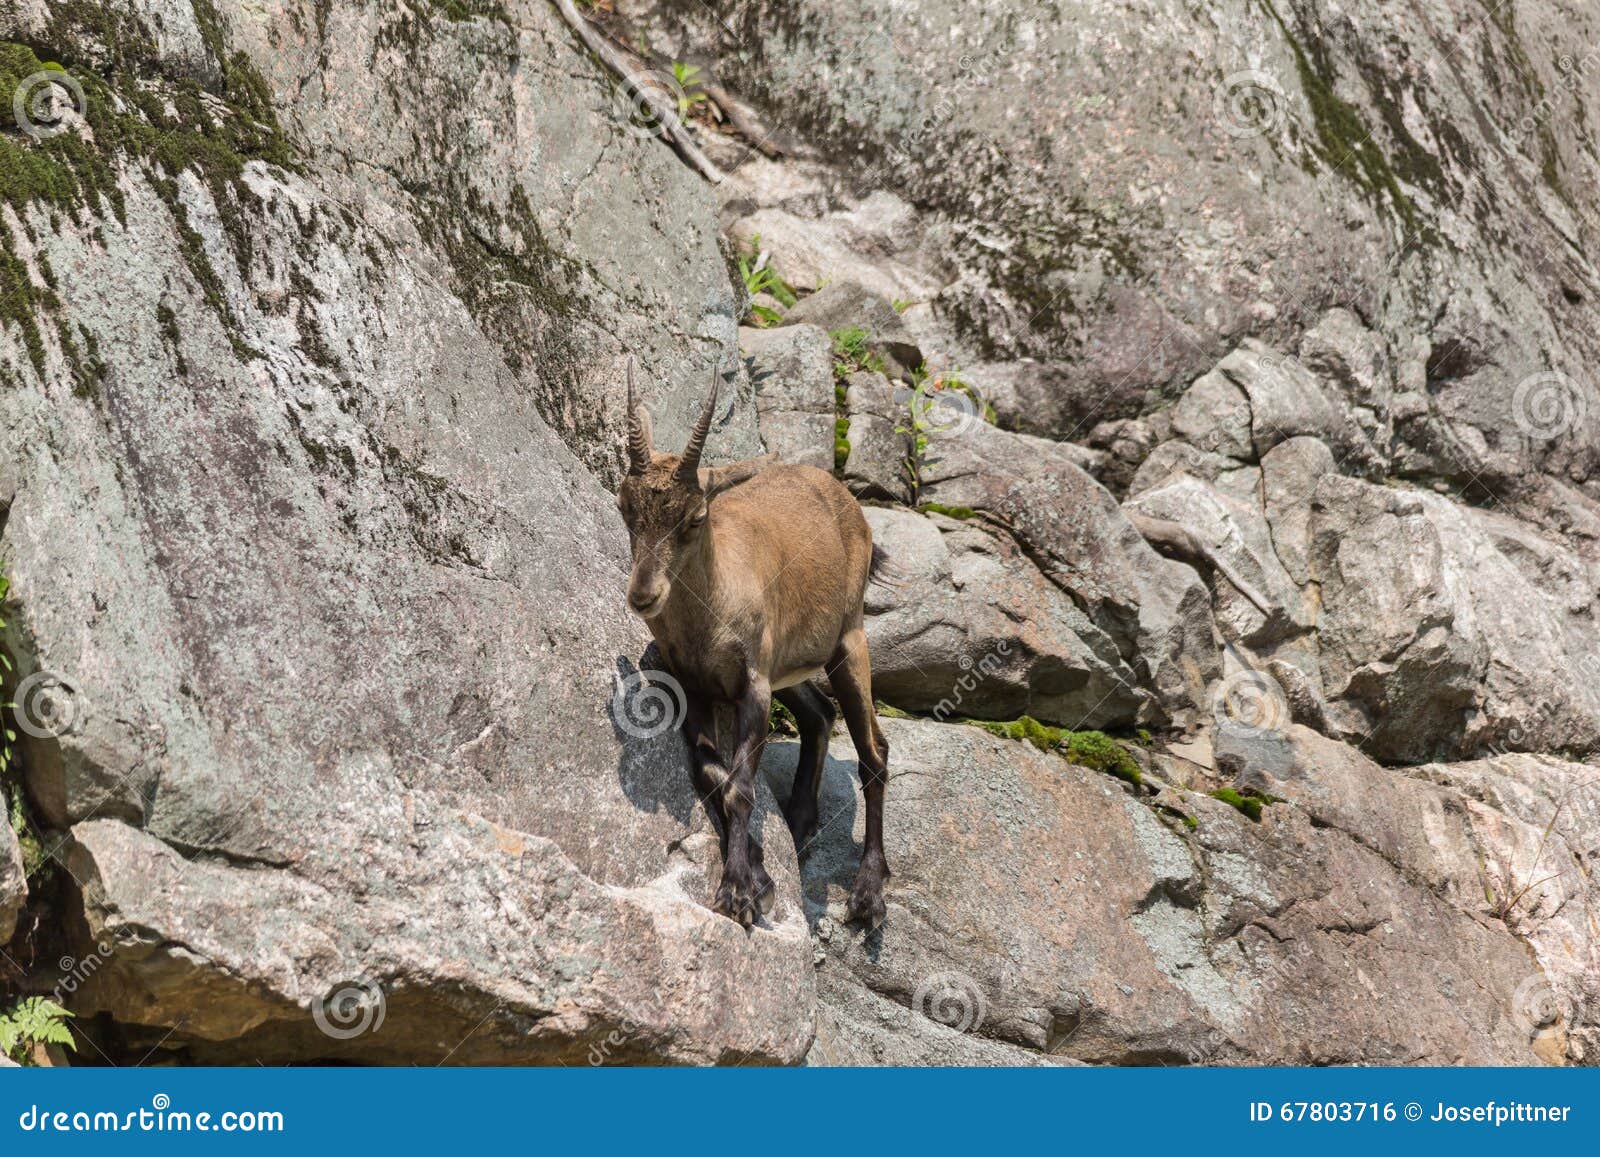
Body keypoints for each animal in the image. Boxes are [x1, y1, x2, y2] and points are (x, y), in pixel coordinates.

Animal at [617, 359, 890, 928]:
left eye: (695, 517)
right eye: (624, 506)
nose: (644, 594)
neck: (709, 617)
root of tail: (844, 498)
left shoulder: (754, 687)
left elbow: (741, 787)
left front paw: (738, 893)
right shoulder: (694, 688)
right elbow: (713, 774)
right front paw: (761, 877)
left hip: (848, 642)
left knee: (874, 753)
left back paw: (868, 893)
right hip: (790, 659)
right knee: (819, 713)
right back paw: (802, 823)